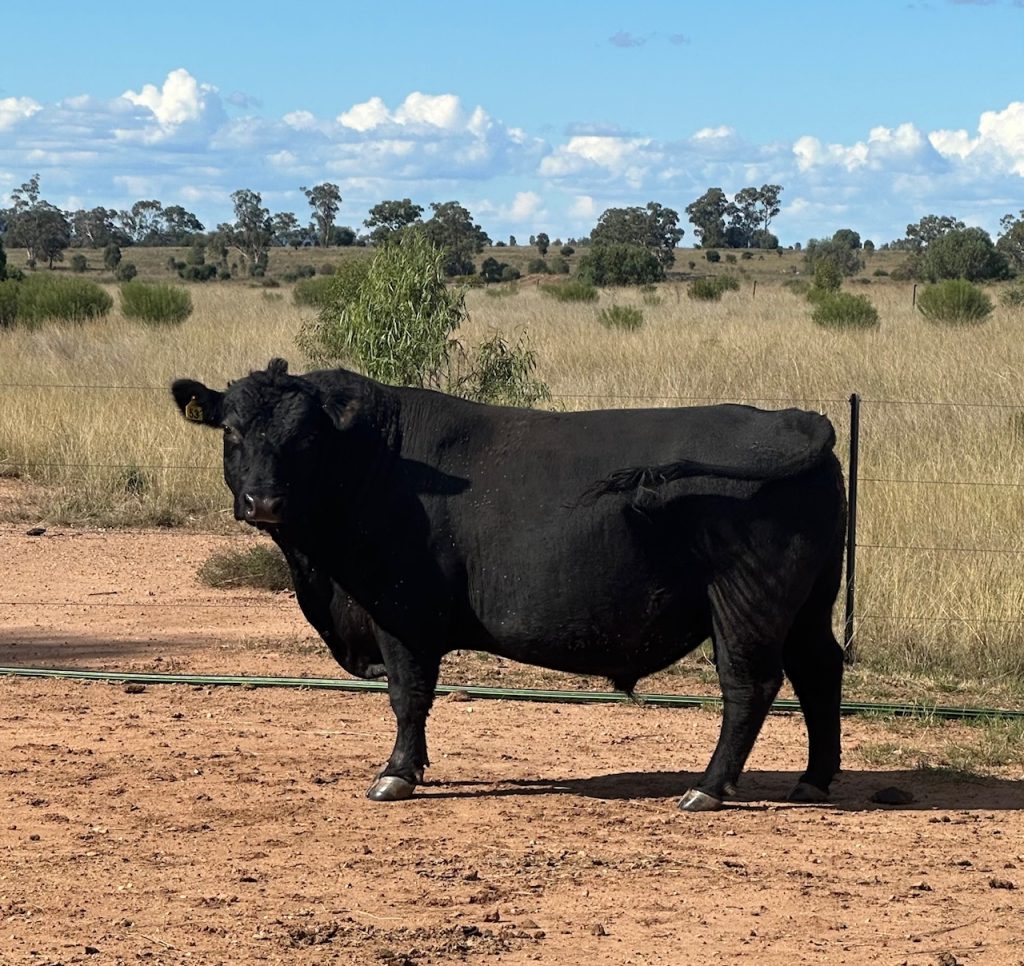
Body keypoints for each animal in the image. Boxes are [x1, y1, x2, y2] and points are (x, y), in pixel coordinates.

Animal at [172, 358, 847, 812]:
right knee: (819, 669)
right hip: (807, 605)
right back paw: (814, 778)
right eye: (232, 433)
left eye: (306, 438)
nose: (264, 501)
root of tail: (796, 419)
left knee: (749, 686)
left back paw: (707, 788)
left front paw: (395, 775)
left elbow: (408, 695)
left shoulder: (401, 611)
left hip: (746, 604)